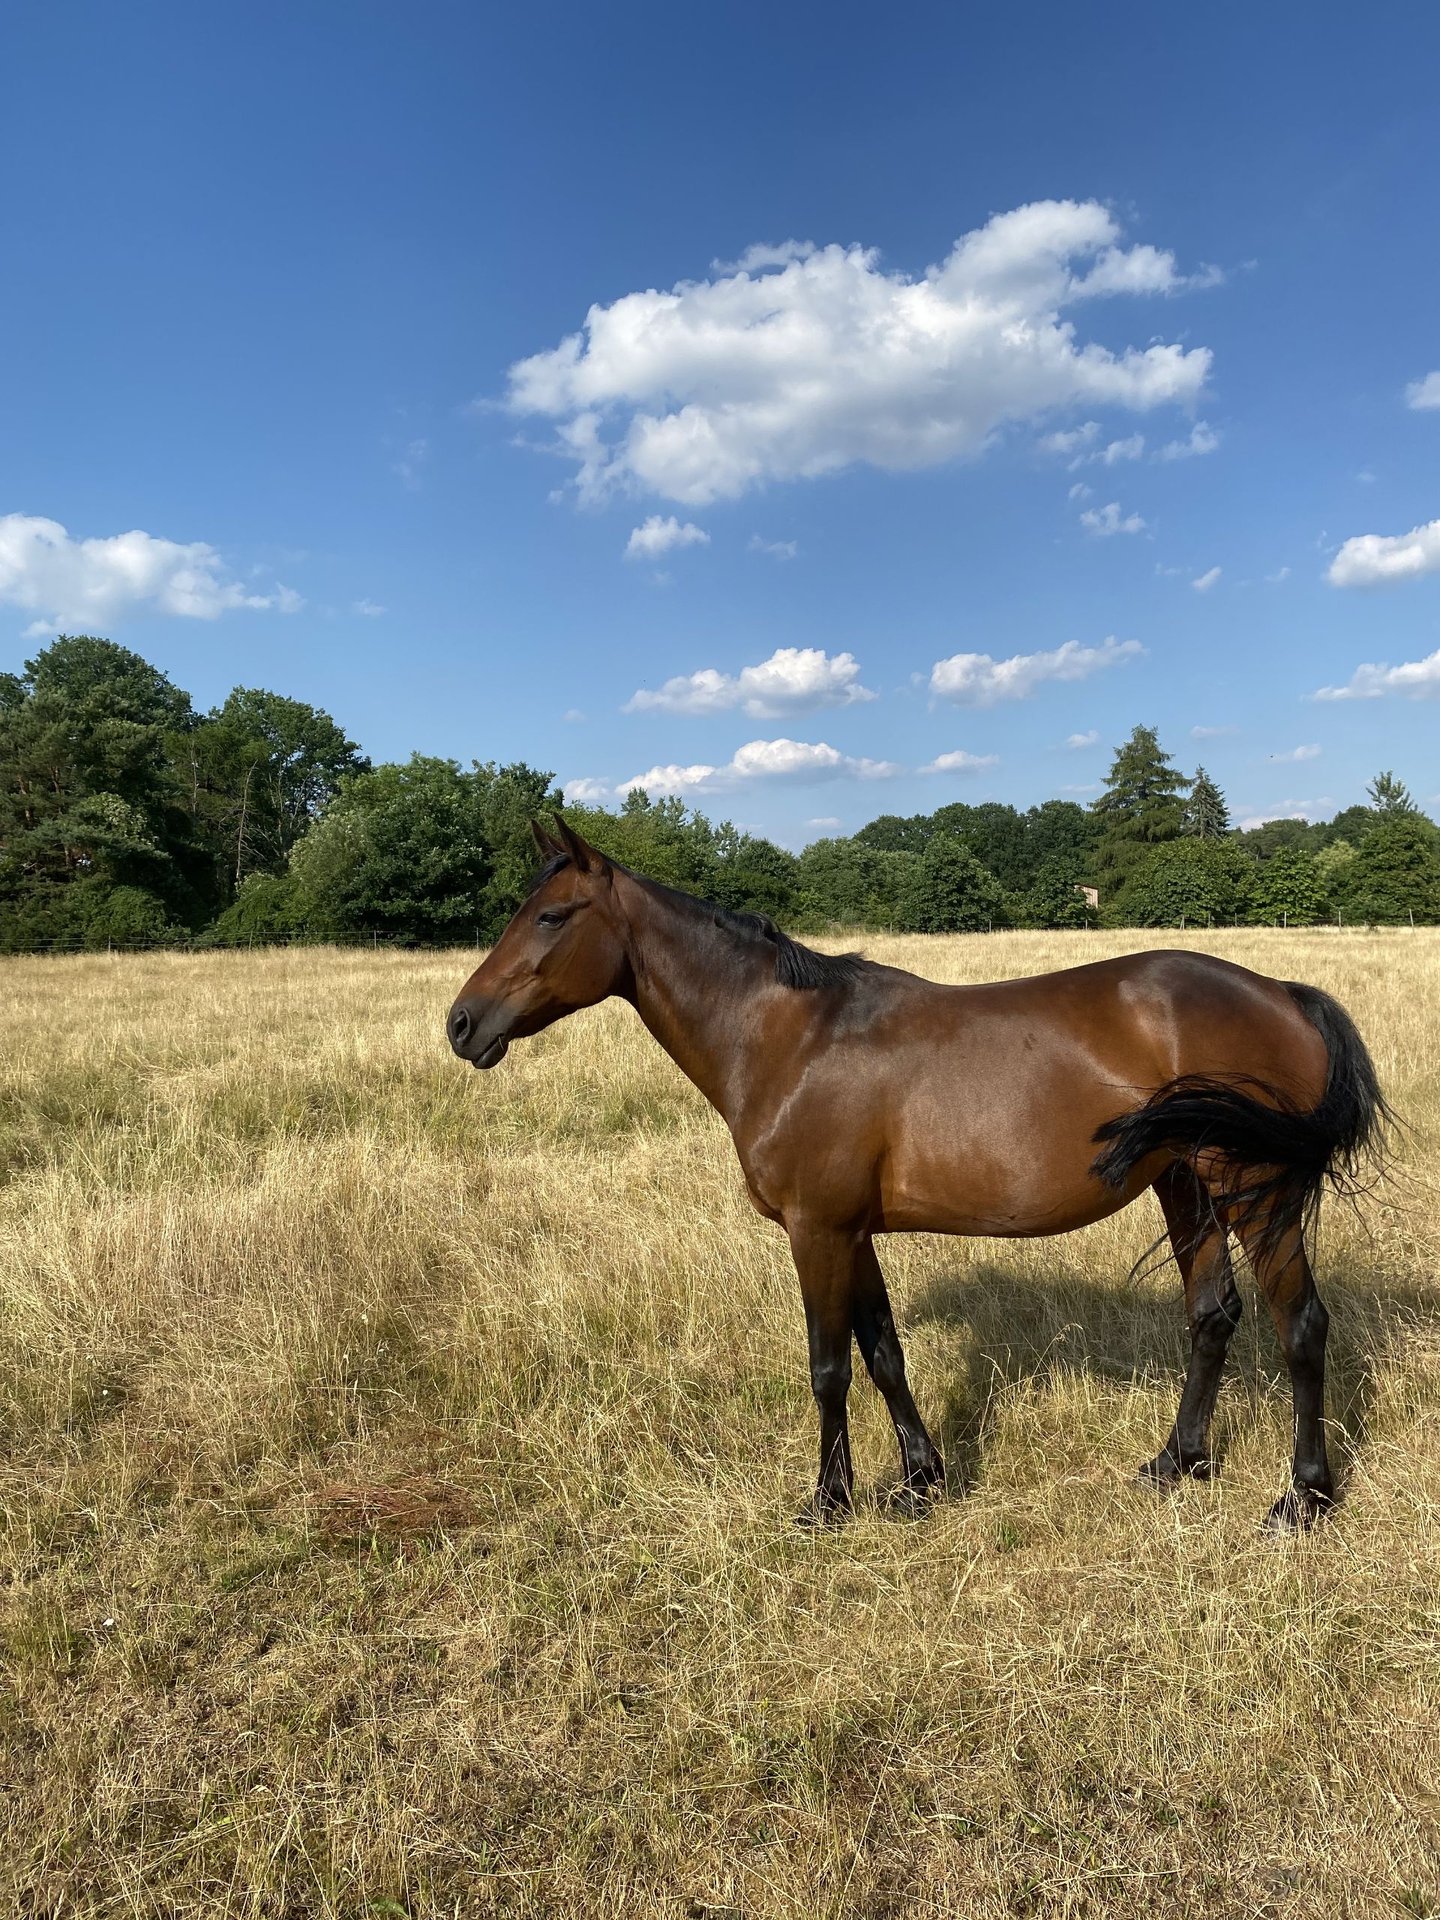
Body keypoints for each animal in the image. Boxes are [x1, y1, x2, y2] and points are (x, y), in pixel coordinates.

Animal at [446, 814, 1391, 1532]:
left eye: (553, 916)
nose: (461, 1024)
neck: (789, 1038)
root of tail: (1282, 992)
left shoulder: (816, 1231)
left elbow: (828, 1367)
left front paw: (828, 1502)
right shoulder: (850, 1231)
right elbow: (883, 1353)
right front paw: (918, 1479)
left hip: (1251, 1187)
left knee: (1300, 1324)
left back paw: (1303, 1499)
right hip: (1183, 1182)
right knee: (1212, 1316)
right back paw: (1178, 1461)